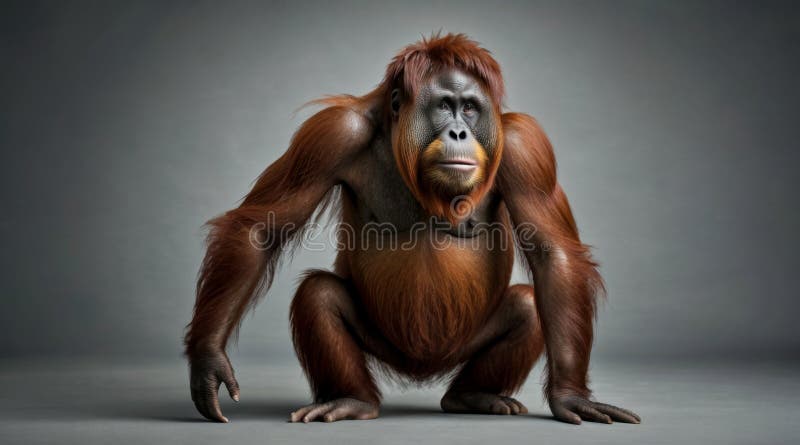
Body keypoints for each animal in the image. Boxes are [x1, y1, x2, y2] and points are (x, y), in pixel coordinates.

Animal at [184, 33, 640, 425]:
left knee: (528, 308)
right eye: (444, 105)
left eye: (470, 107)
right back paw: (353, 401)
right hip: (384, 344)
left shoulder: (526, 147)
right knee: (318, 294)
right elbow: (262, 229)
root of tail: (422, 369)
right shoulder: (331, 133)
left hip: (464, 343)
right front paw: (208, 360)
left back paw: (472, 396)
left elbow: (552, 254)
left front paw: (571, 397)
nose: (459, 130)